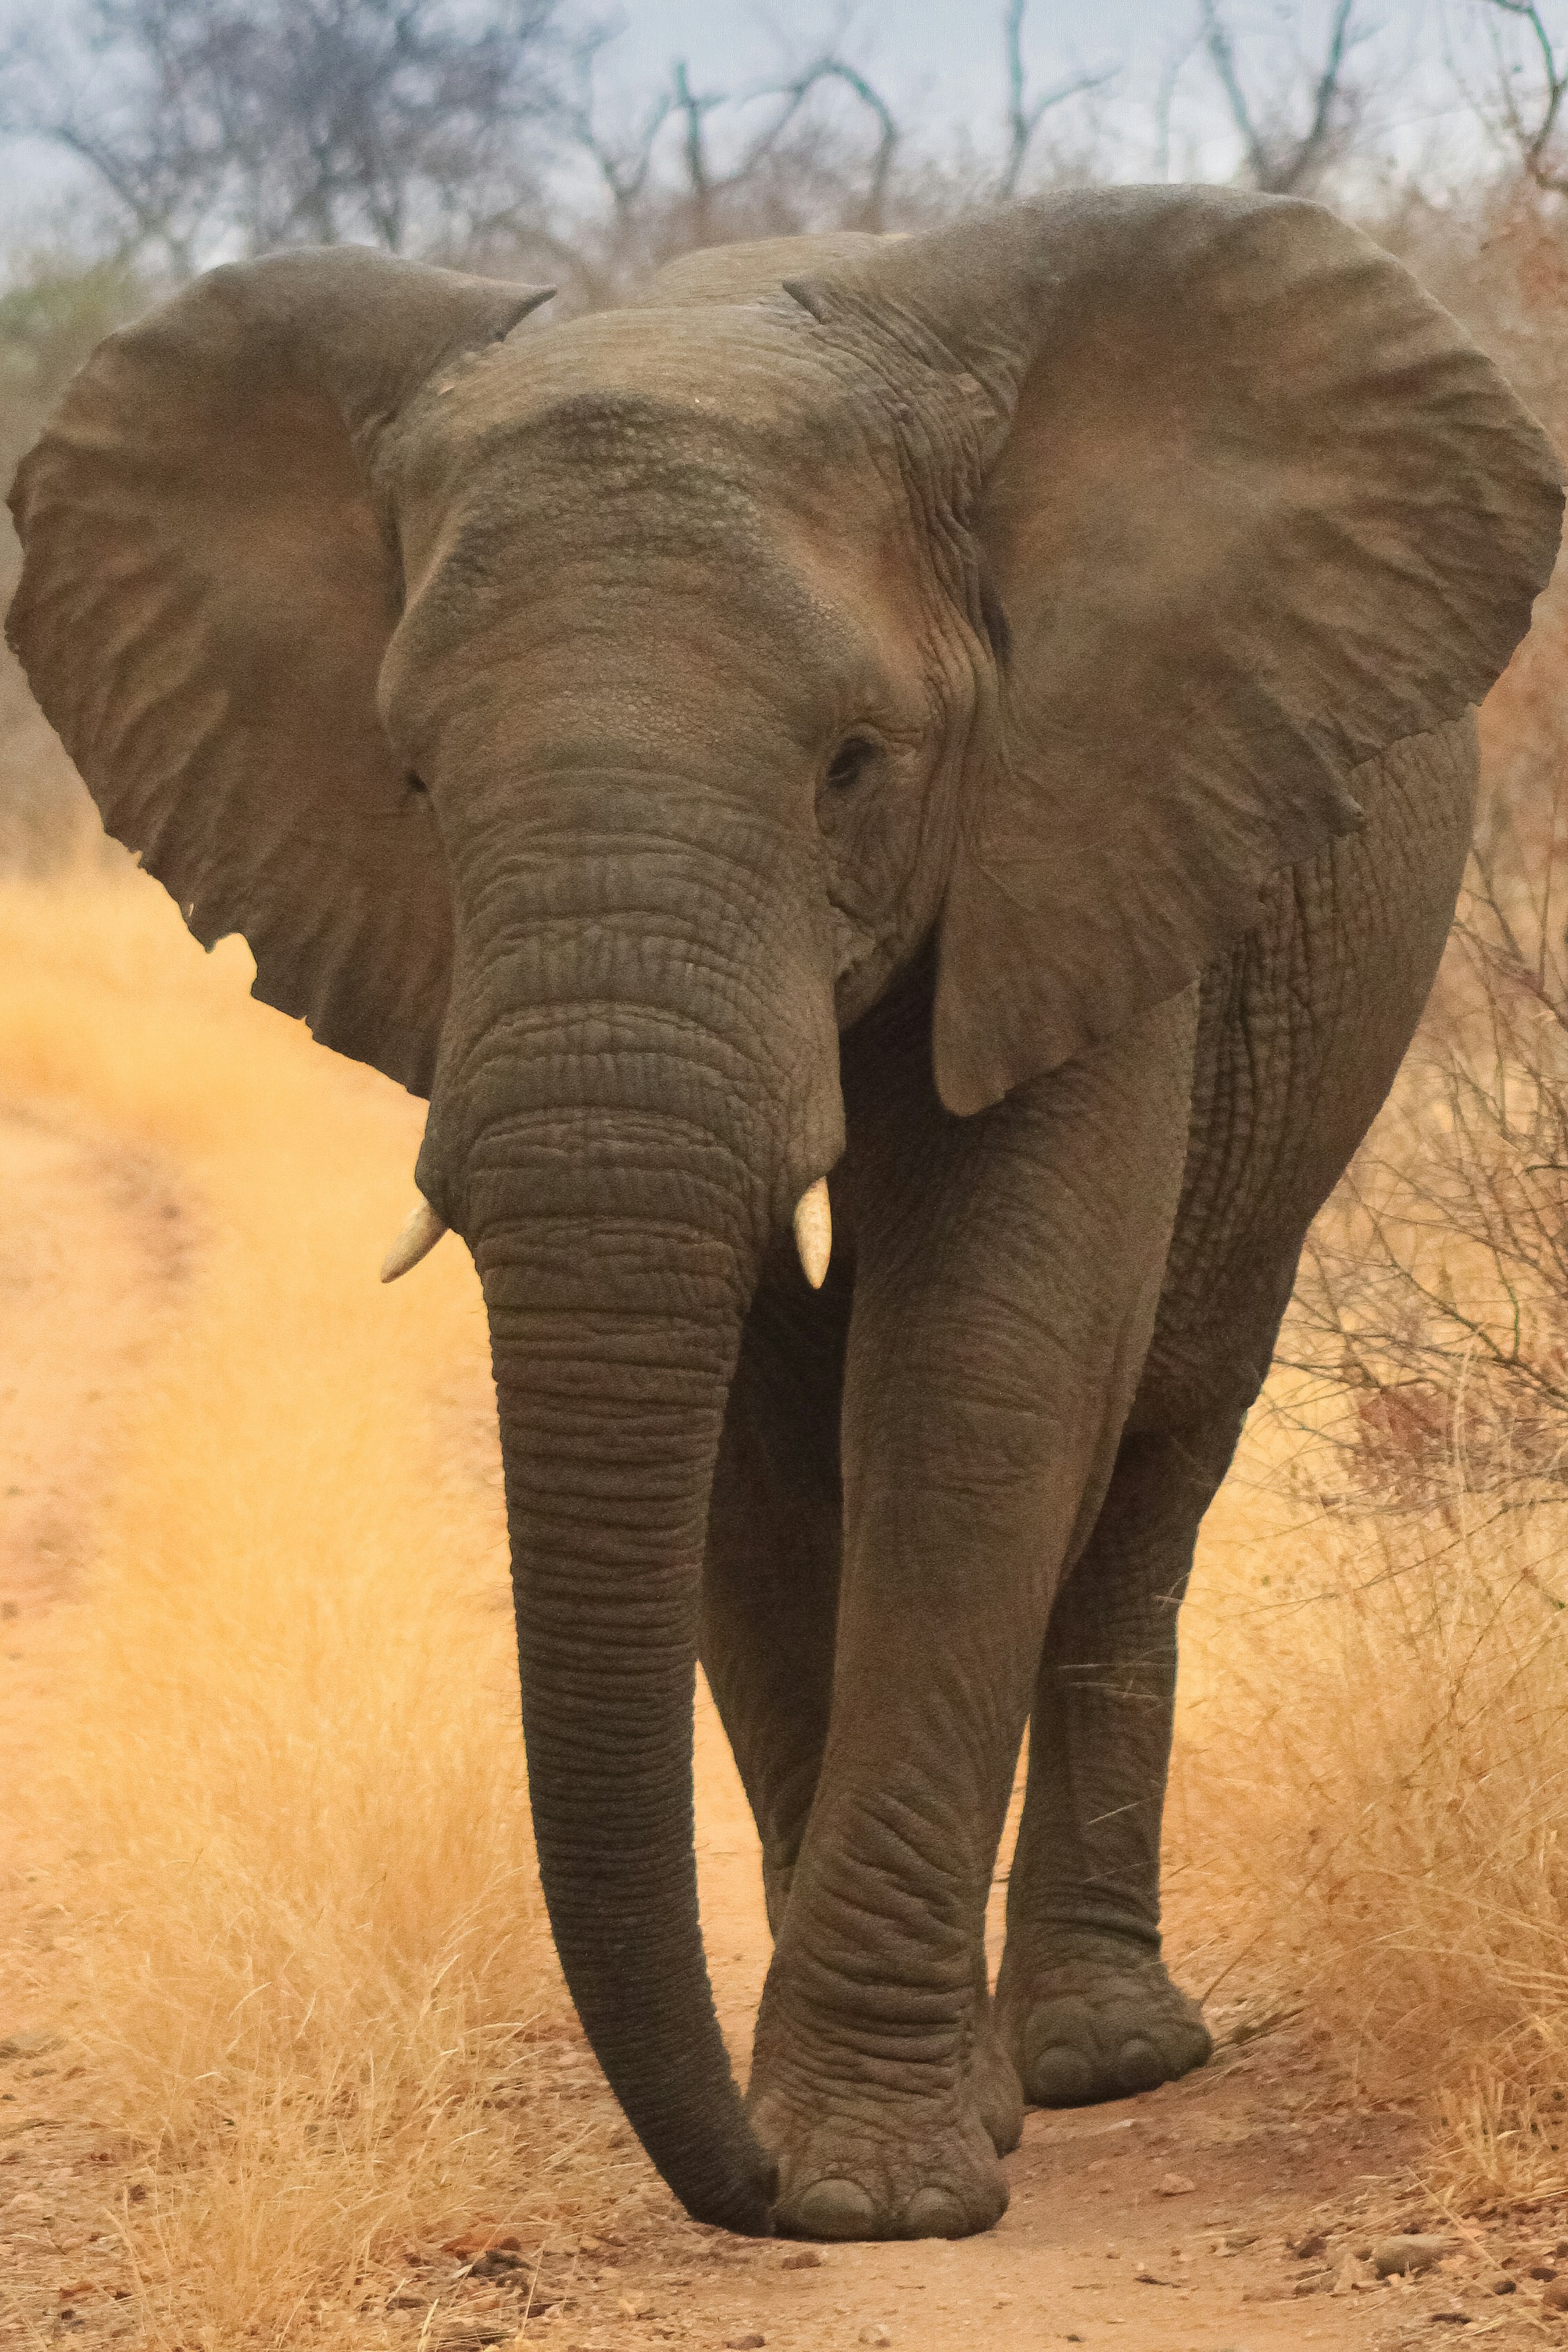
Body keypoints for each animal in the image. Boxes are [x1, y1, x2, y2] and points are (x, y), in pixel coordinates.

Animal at [6, 186, 1562, 2245]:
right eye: (410, 778)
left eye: (853, 765)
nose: (724, 2184)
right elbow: (743, 1452)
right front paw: (872, 2138)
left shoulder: (1081, 818)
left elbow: (982, 1378)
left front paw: (868, 2184)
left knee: (1156, 1445)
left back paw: (1101, 2056)